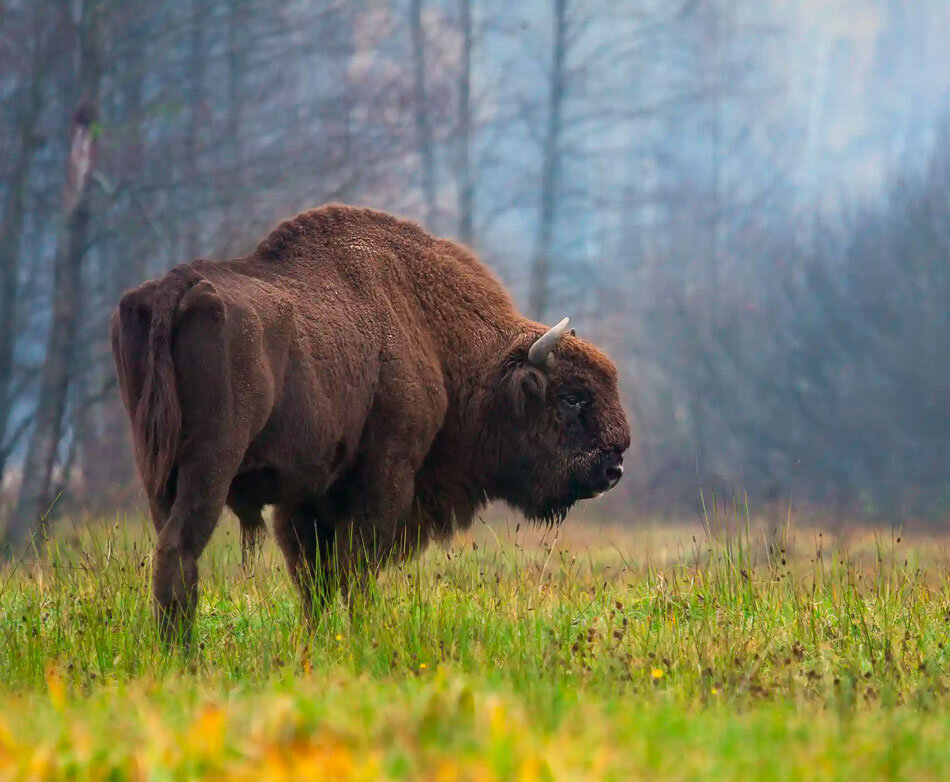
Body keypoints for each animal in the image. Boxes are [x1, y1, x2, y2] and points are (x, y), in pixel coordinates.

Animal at [111, 207, 628, 644]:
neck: (435, 336)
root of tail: (175, 287)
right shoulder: (384, 476)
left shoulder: (306, 497)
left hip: (156, 470)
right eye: (571, 397)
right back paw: (183, 654)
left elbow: (314, 579)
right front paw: (362, 637)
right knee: (180, 547)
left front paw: (317, 642)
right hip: (211, 464)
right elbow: (354, 569)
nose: (614, 465)